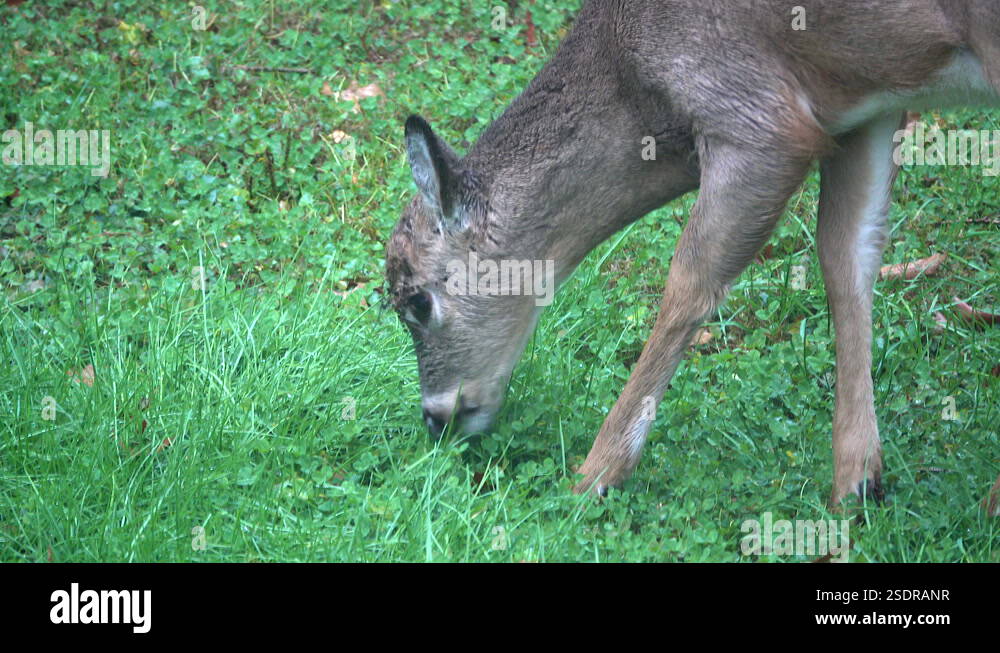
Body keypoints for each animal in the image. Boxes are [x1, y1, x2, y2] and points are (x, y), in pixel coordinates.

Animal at [385, 0, 1000, 507]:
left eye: (416, 301)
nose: (435, 418)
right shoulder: (862, 106)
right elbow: (848, 254)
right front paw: (856, 480)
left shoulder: (760, 121)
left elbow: (689, 280)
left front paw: (594, 475)